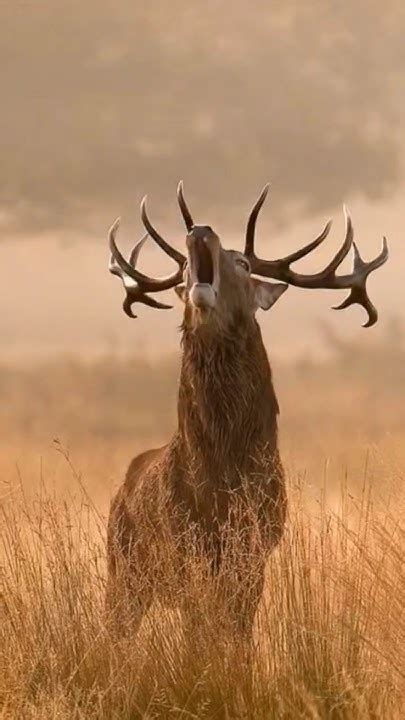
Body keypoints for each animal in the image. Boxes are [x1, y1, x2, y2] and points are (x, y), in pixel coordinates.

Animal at [106, 183, 388, 641]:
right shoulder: (188, 547)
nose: (200, 229)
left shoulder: (256, 549)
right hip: (123, 566)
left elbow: (238, 637)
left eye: (241, 262)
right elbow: (201, 636)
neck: (224, 473)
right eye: (183, 269)